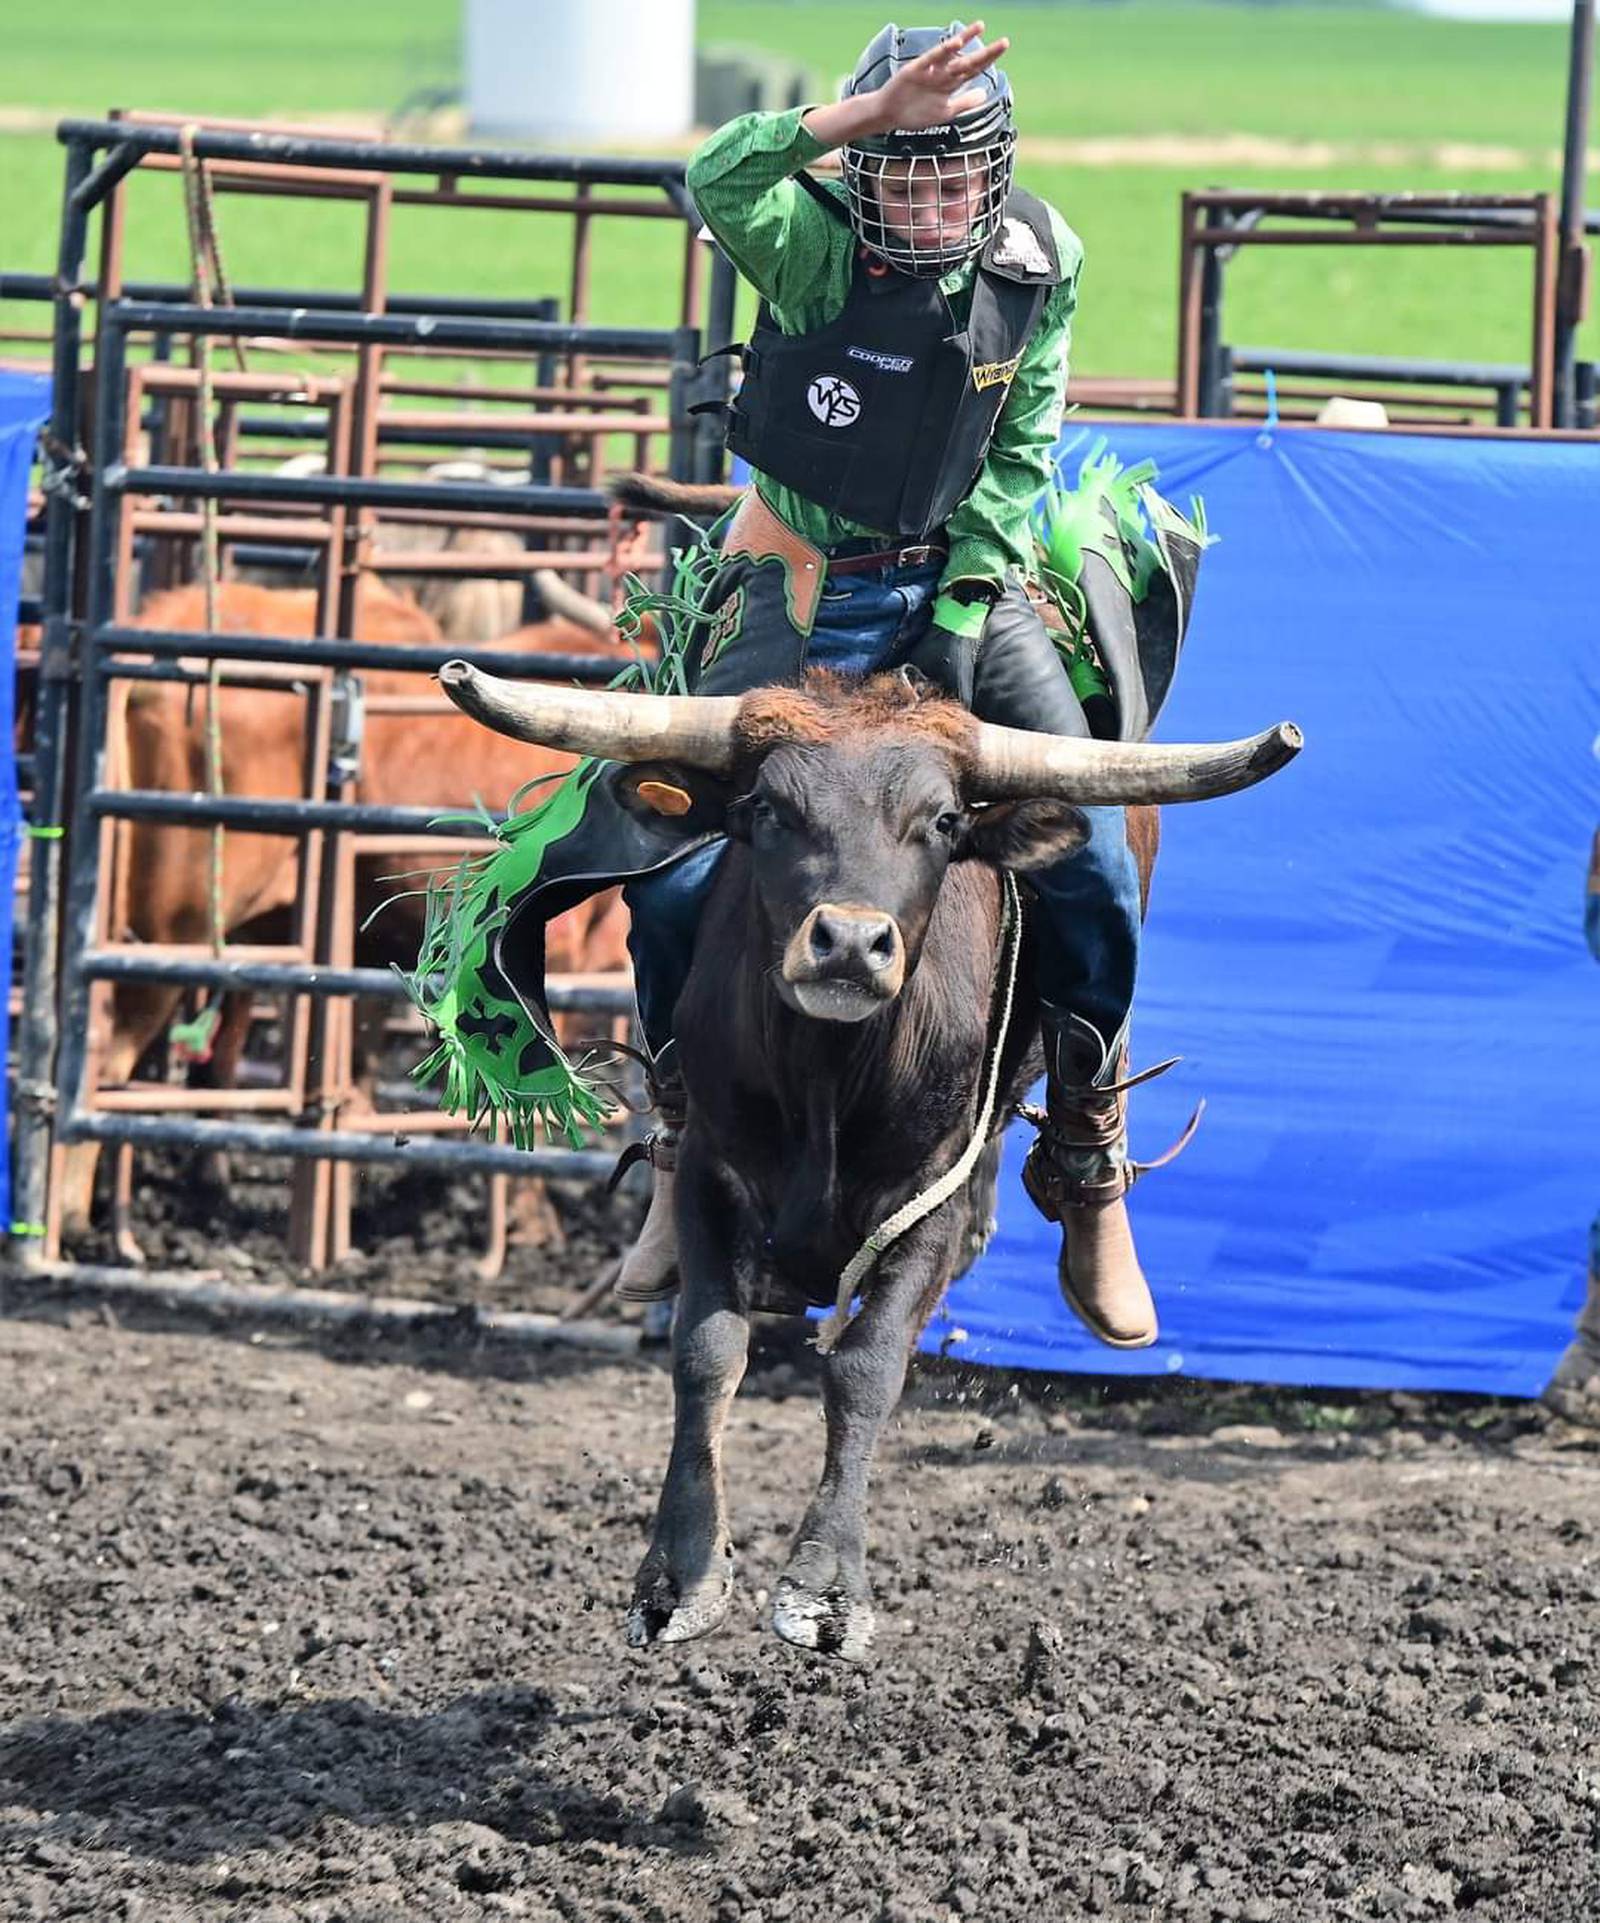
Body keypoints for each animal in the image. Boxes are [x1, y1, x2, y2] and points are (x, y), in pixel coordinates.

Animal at [436, 661, 1300, 1660]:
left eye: (943, 821)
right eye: (769, 810)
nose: (849, 941)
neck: (827, 1079)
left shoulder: (927, 1197)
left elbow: (867, 1364)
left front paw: (825, 1587)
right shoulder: (712, 1172)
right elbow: (705, 1350)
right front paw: (680, 1576)